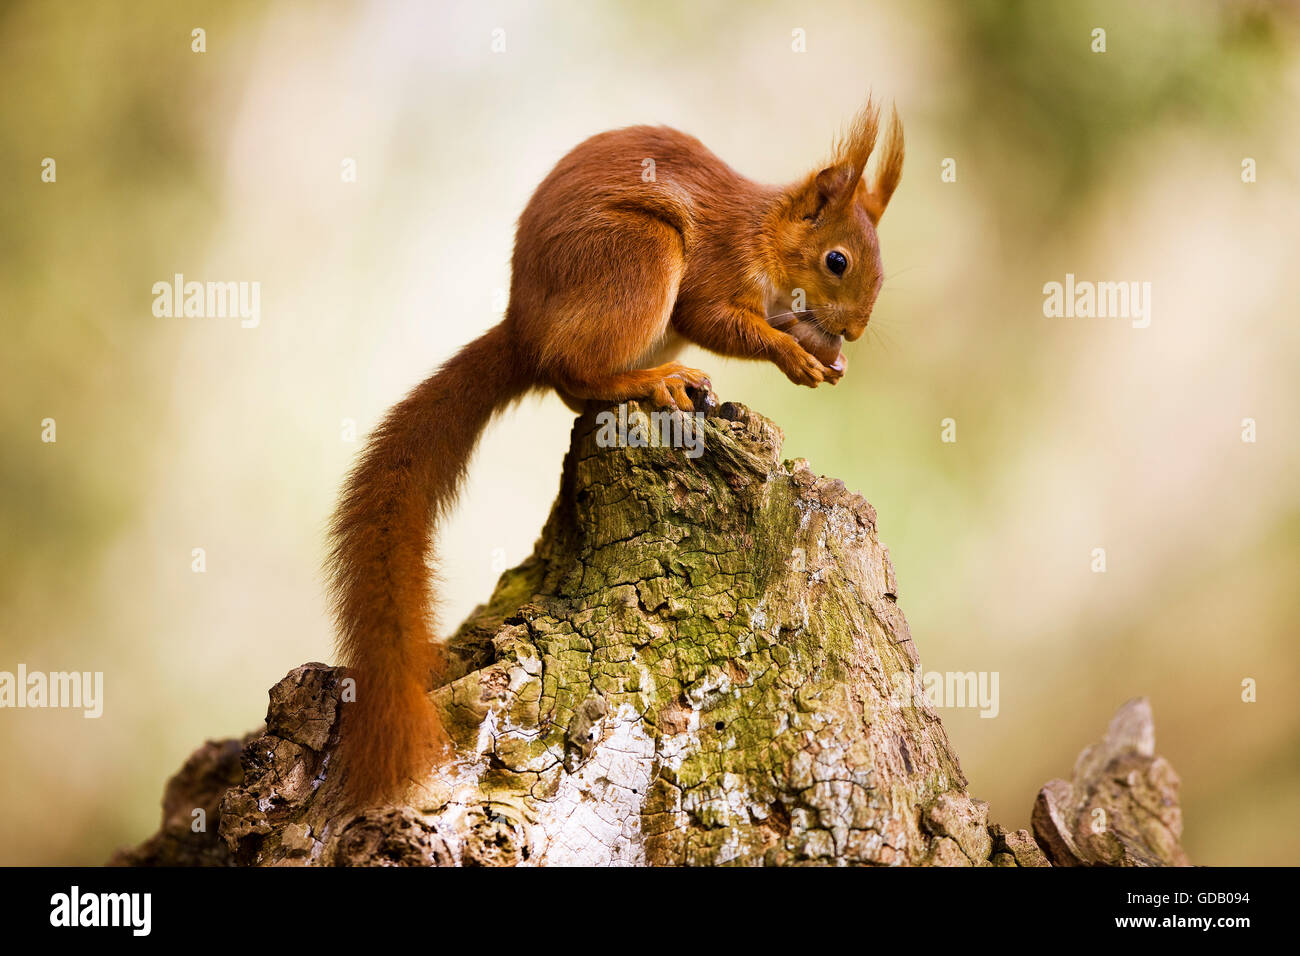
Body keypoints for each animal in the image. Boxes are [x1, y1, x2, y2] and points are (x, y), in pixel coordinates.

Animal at [327, 100, 904, 808]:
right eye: (837, 261)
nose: (854, 330)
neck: (763, 233)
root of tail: (523, 334)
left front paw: (822, 351)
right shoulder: (716, 266)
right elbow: (716, 318)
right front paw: (791, 351)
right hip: (637, 255)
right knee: (575, 370)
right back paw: (650, 383)